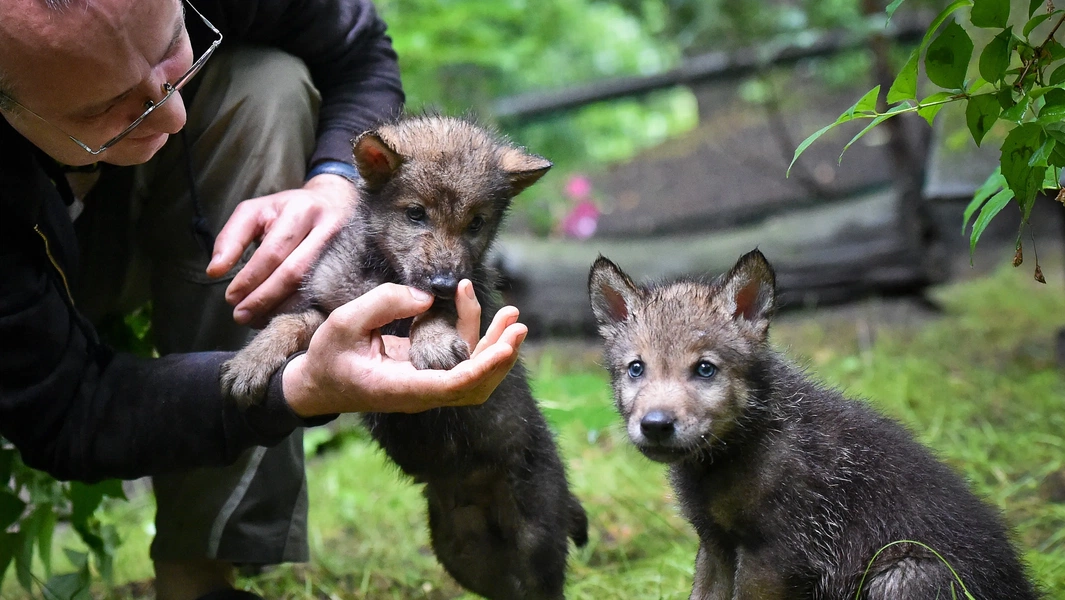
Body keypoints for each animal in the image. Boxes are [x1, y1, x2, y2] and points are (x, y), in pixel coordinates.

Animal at [221, 115, 588, 599]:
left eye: (476, 223)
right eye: (416, 213)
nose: (444, 281)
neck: (382, 274)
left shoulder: (470, 293)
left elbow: (434, 311)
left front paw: (432, 341)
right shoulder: (327, 310)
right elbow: (287, 323)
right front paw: (251, 361)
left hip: (536, 534)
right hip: (462, 552)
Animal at [588, 250, 1038, 600]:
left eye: (704, 369)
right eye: (636, 368)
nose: (656, 424)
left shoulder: (777, 554)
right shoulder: (715, 542)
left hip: (902, 575)